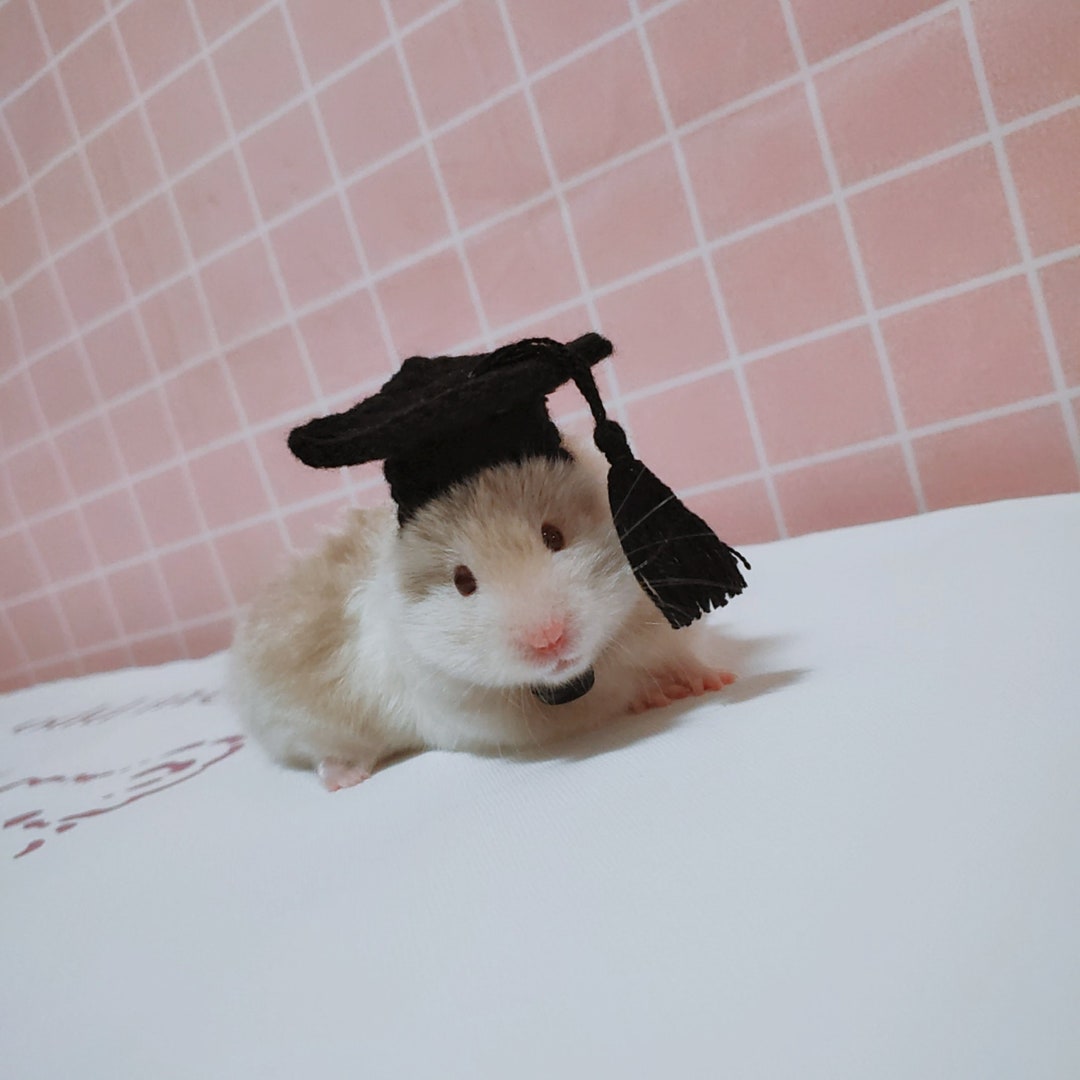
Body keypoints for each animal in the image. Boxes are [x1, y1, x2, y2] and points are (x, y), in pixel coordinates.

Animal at [227, 436, 734, 790]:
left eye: (554, 536)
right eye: (462, 581)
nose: (549, 639)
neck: (575, 677)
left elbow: (674, 659)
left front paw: (712, 681)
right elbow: (620, 688)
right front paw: (655, 696)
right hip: (297, 721)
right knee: (322, 752)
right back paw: (346, 779)